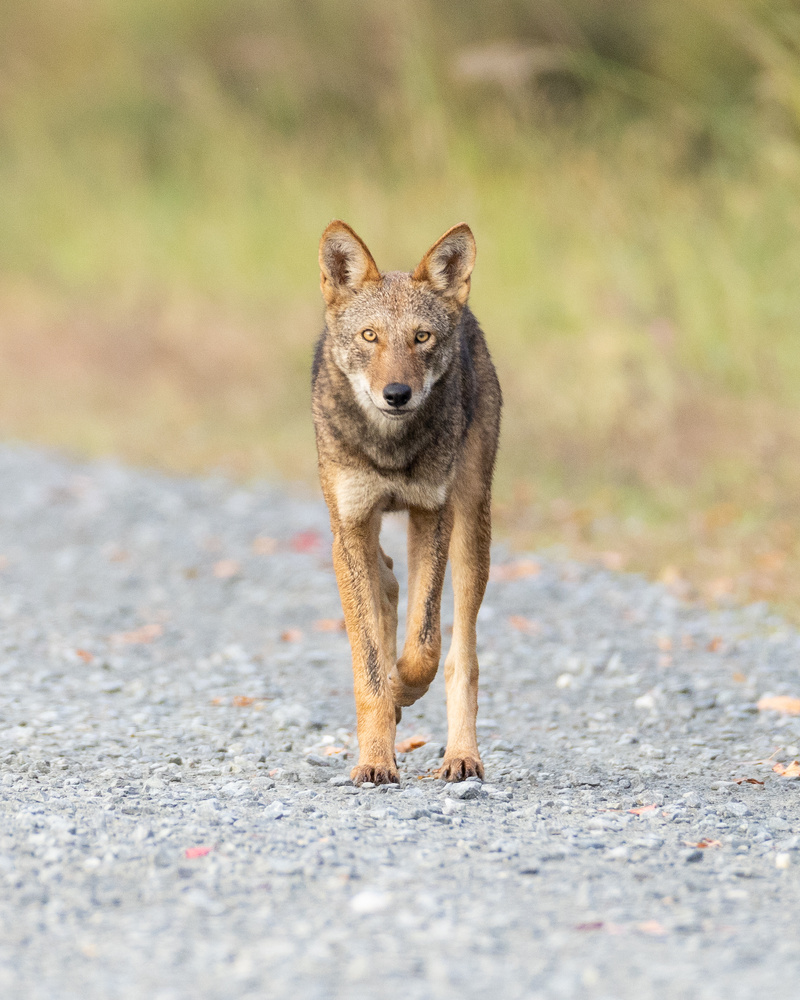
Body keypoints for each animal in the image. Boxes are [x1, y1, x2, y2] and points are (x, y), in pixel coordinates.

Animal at [312, 220, 502, 785]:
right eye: (369, 336)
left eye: (422, 337)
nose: (397, 393)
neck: (390, 451)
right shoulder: (350, 525)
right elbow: (368, 661)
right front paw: (376, 759)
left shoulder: (431, 514)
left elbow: (423, 649)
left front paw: (400, 691)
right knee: (388, 581)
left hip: (473, 528)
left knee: (462, 657)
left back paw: (462, 756)